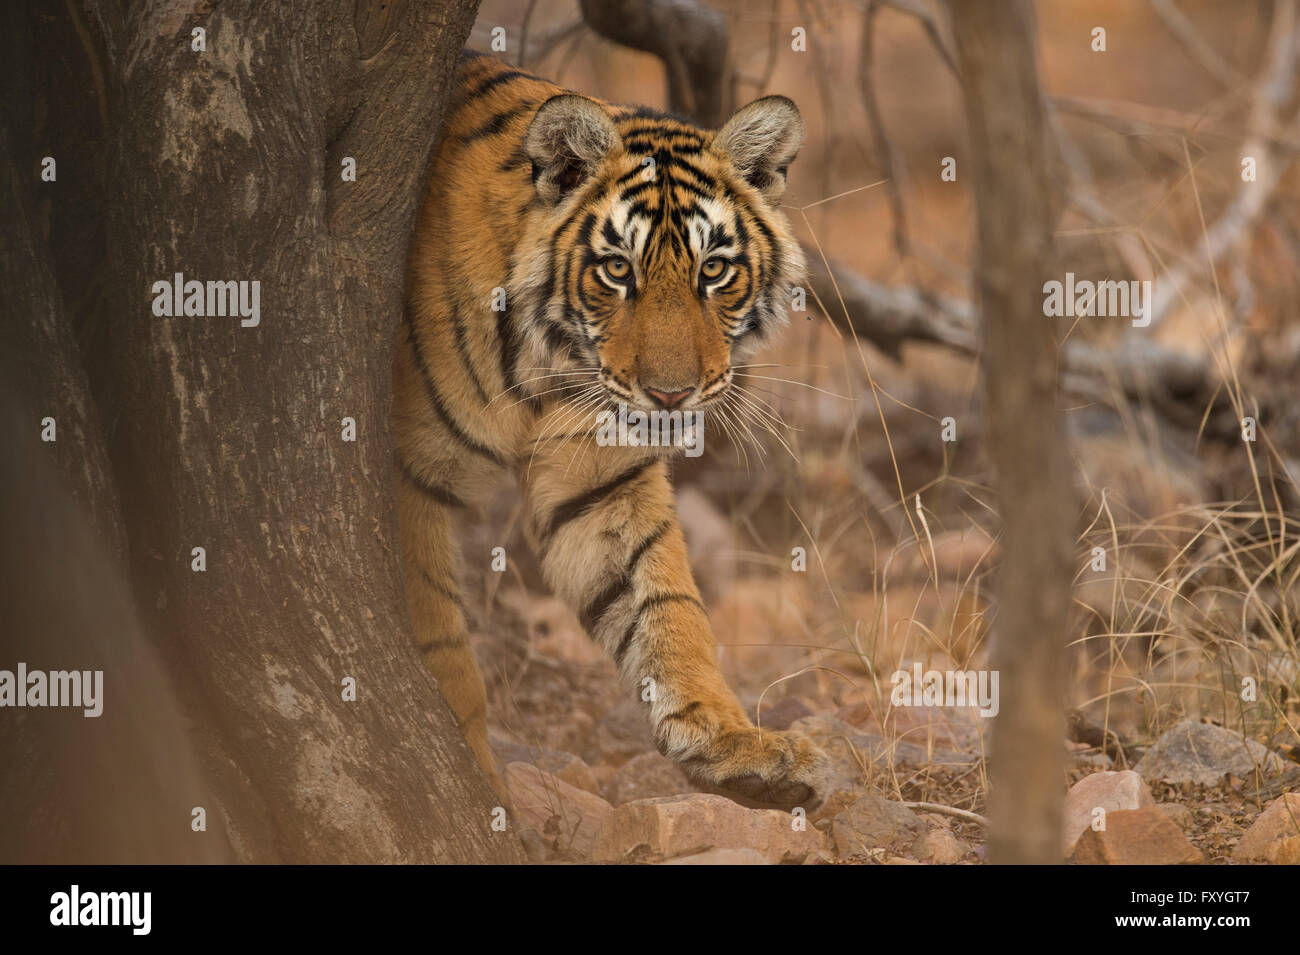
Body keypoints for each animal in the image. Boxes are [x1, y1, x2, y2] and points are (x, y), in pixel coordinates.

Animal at [394, 51, 831, 811]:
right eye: (617, 269)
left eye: (715, 270)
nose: (670, 393)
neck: (542, 364)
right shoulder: (407, 475)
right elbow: (439, 636)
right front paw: (470, 780)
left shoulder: (601, 481)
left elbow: (666, 605)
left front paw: (736, 745)